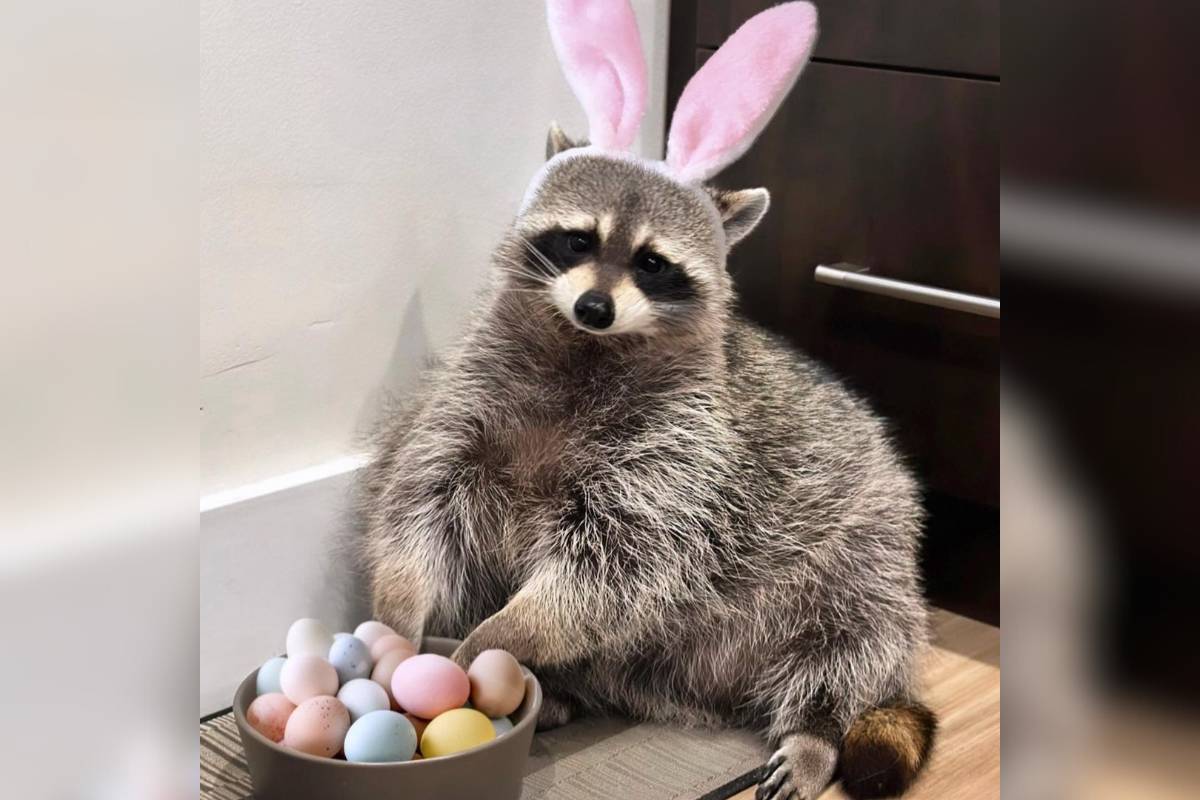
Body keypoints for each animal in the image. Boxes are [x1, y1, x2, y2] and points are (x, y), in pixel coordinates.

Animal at [360, 3, 936, 798]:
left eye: (653, 262)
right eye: (578, 240)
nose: (596, 306)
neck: (585, 351)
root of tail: (708, 695)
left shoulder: (682, 456)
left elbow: (614, 568)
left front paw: (500, 634)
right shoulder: (470, 400)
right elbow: (420, 505)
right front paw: (399, 611)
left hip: (866, 545)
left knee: (851, 638)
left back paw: (816, 728)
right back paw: (564, 693)